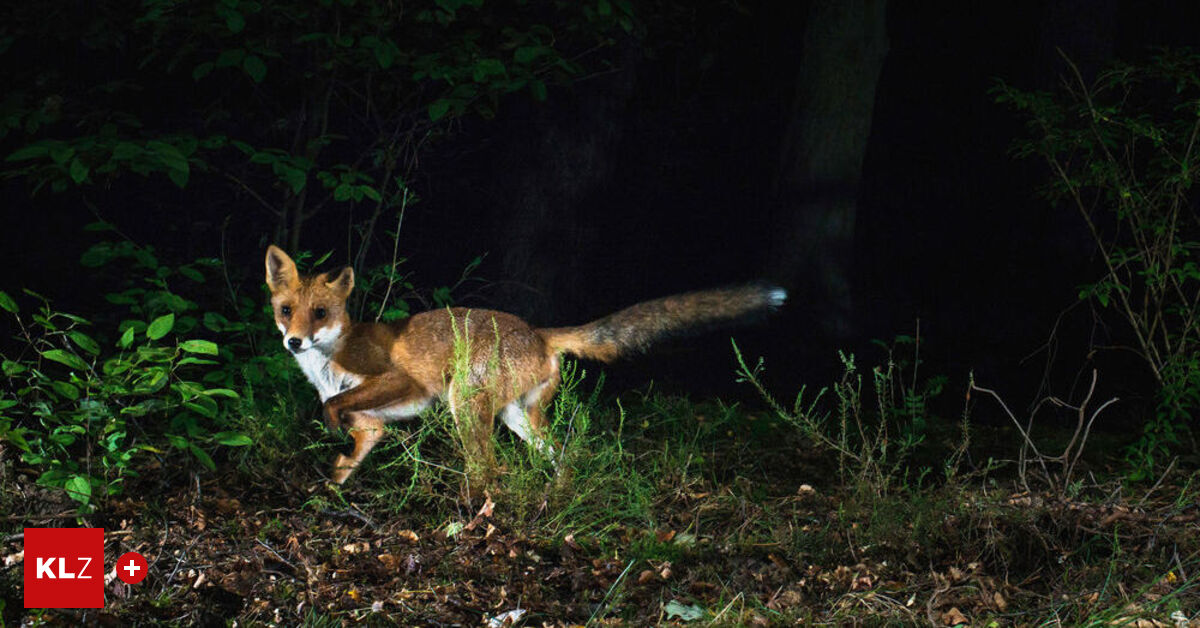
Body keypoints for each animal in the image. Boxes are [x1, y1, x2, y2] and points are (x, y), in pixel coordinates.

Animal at [265, 245, 786, 485]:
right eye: (286, 310)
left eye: (321, 313)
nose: (294, 341)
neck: (328, 365)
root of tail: (538, 331)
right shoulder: (372, 427)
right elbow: (344, 463)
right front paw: (326, 495)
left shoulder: (399, 379)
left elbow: (335, 407)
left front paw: (329, 426)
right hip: (519, 416)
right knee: (563, 456)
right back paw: (555, 501)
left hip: (465, 404)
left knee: (490, 469)